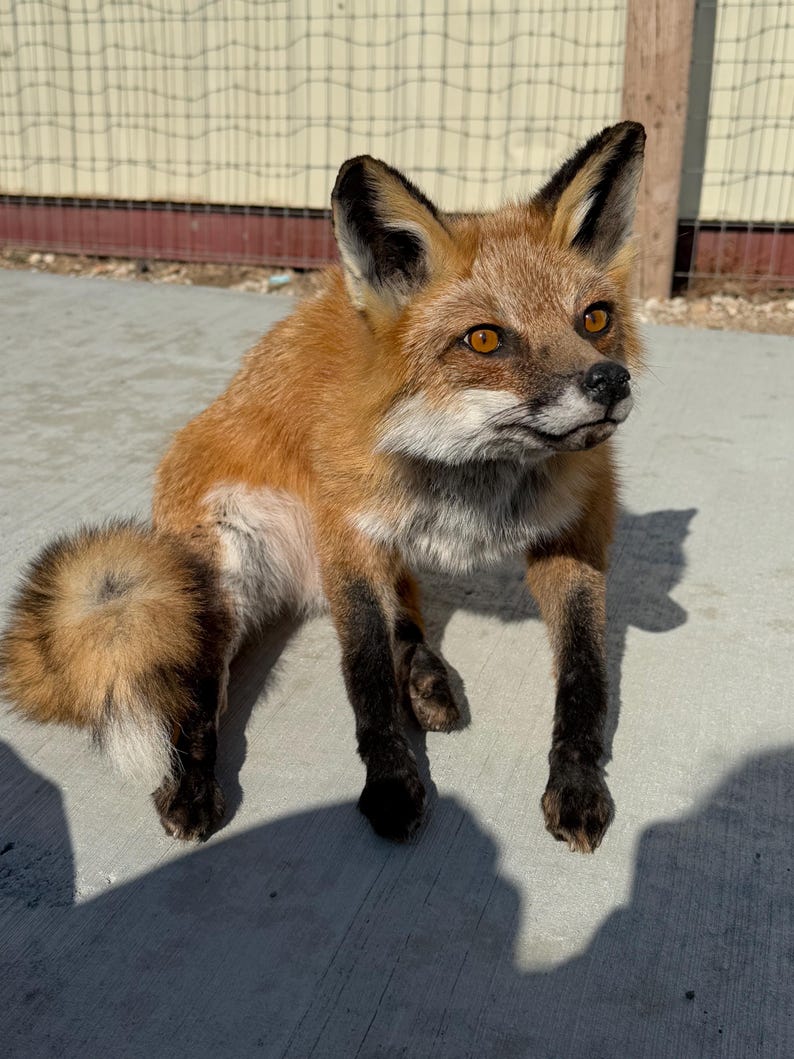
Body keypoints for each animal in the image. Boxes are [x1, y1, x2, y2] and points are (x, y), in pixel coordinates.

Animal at [1, 121, 645, 852]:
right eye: (484, 339)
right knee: (193, 694)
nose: (610, 382)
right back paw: (190, 785)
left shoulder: (576, 531)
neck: (471, 479)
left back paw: (427, 681)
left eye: (594, 319)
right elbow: (365, 679)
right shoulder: (348, 537)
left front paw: (577, 783)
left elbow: (583, 680)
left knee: (407, 622)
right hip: (223, 581)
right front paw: (390, 783)